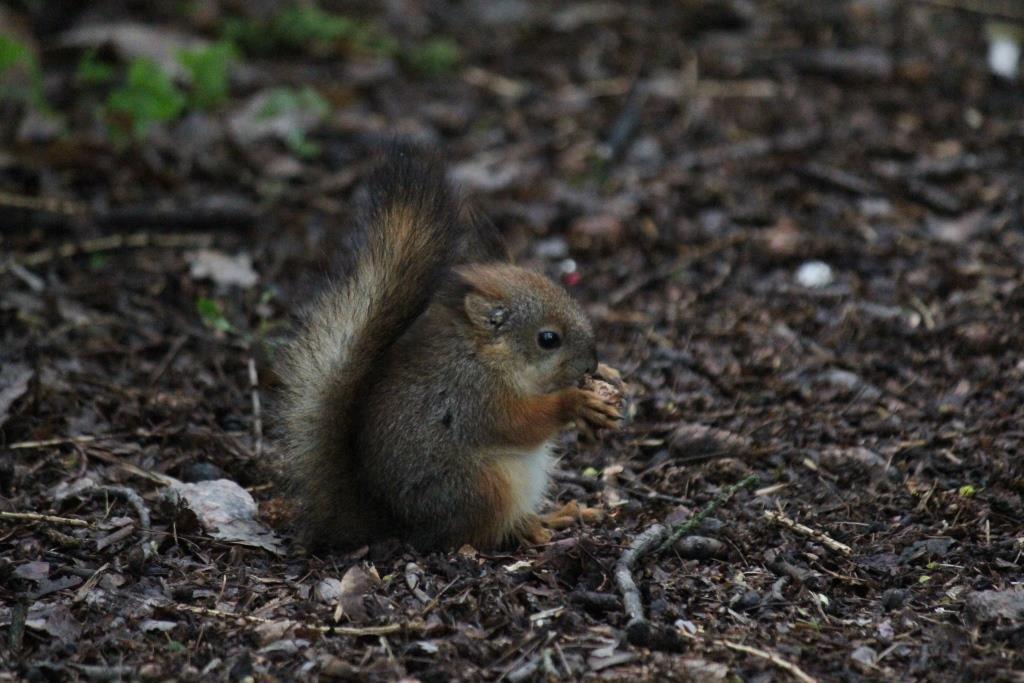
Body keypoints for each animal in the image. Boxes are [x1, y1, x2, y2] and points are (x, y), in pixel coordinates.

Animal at [279, 149, 621, 551]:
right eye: (548, 339)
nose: (592, 363)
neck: (487, 358)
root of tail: (395, 523)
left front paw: (608, 377)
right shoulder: (474, 396)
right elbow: (519, 422)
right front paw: (576, 403)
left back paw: (561, 514)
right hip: (486, 486)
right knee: (484, 532)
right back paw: (535, 527)